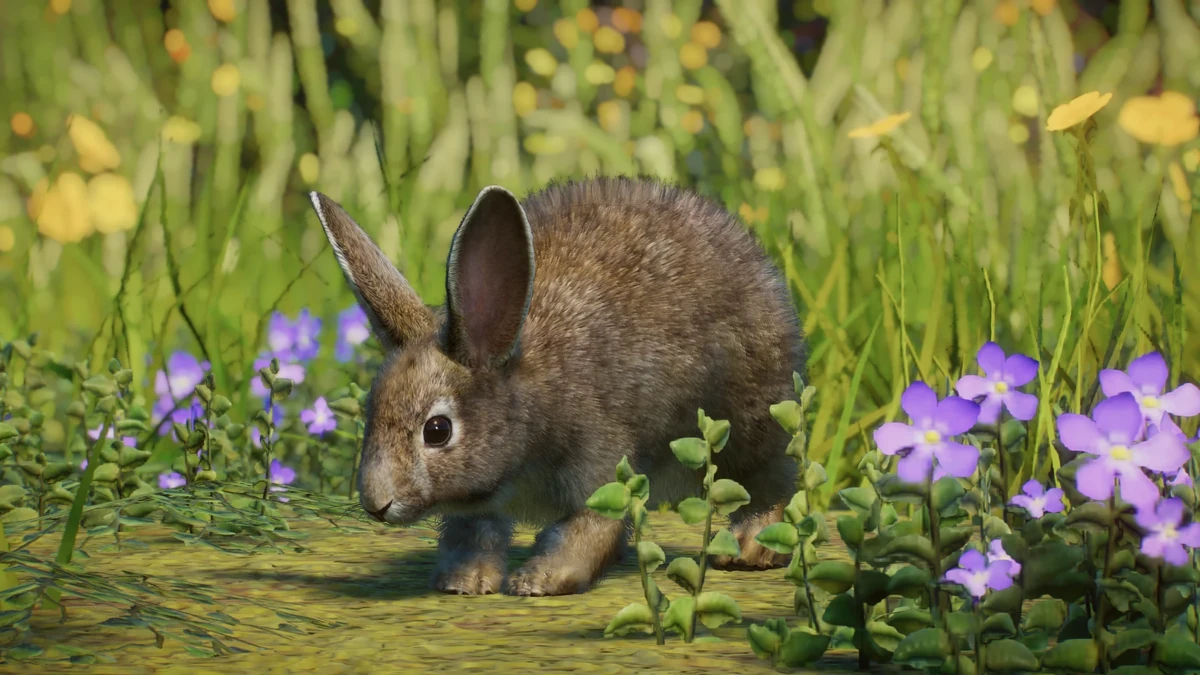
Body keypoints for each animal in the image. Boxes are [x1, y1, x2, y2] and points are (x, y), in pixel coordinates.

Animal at [307, 175, 806, 597]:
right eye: (371, 413)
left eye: (437, 431)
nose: (375, 502)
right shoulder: (478, 505)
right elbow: (472, 533)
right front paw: (464, 581)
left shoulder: (598, 459)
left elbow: (592, 524)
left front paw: (540, 580)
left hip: (747, 420)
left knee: (771, 479)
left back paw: (751, 546)